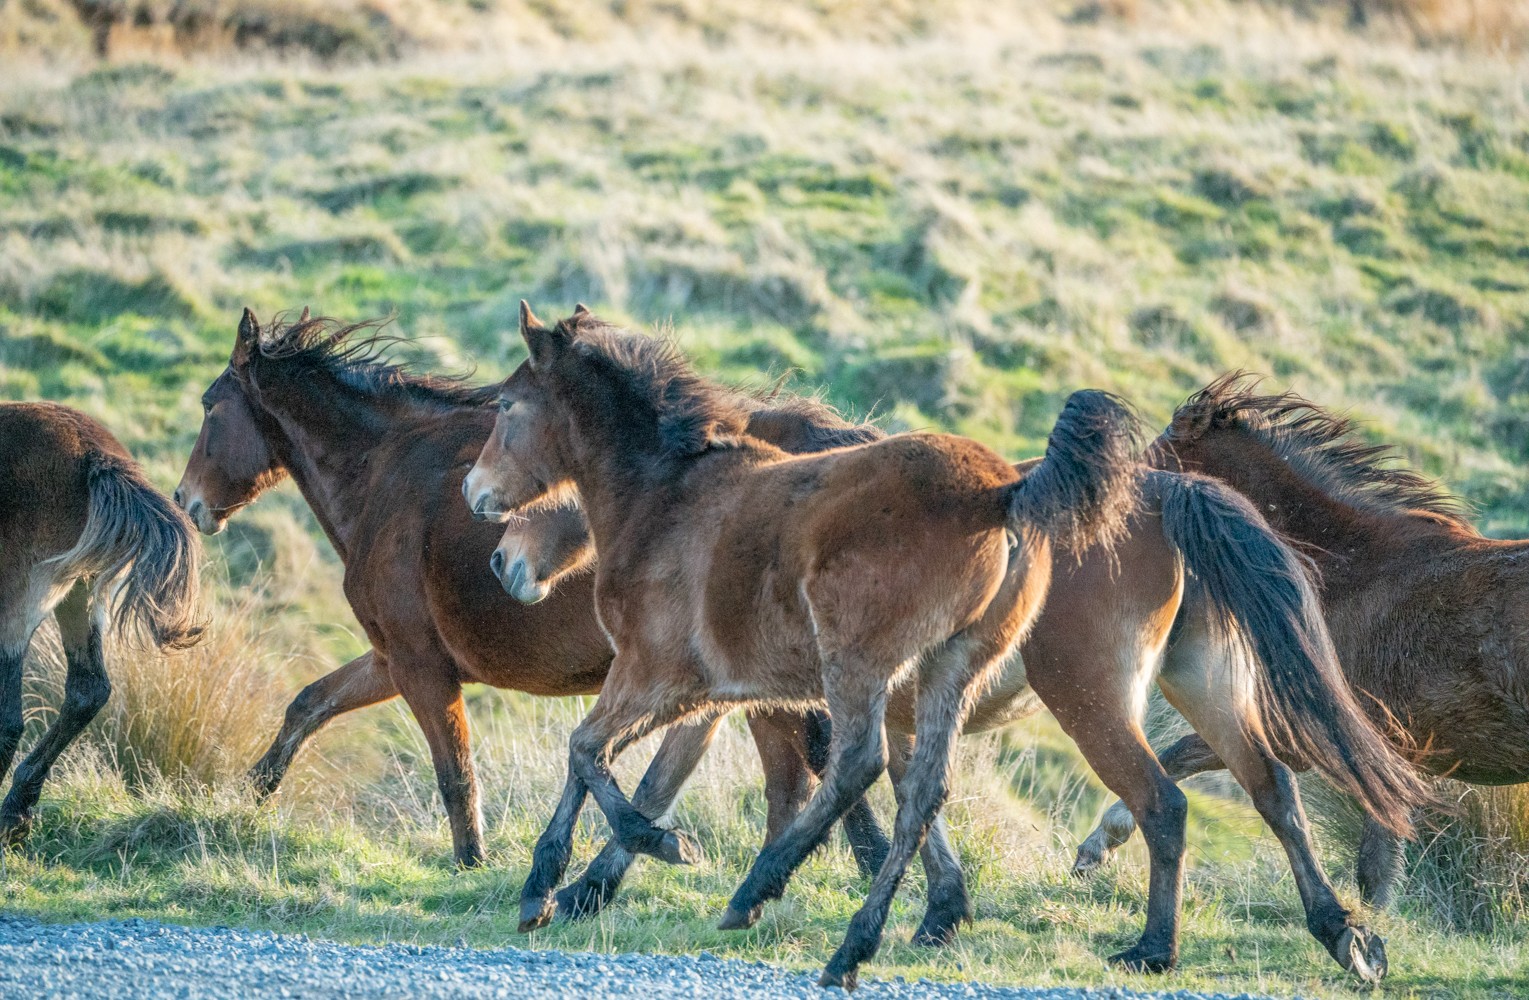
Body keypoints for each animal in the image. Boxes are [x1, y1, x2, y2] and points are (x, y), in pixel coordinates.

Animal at [0, 401, 203, 844]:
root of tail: (94, 455)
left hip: (18, 599)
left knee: (8, 720)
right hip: (81, 590)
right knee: (88, 690)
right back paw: (16, 812)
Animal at [172, 308, 889, 878]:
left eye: (209, 406)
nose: (187, 501)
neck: (386, 471)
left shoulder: (419, 665)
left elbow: (455, 773)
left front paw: (473, 864)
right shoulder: (391, 659)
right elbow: (308, 705)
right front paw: (247, 795)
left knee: (804, 764)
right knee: (783, 775)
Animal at [463, 304, 1427, 986]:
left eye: (505, 408)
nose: (492, 537)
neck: (672, 497)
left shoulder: (670, 680)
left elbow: (607, 761)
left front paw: (589, 877)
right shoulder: (728, 692)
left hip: (1051, 688)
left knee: (1154, 800)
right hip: (1174, 677)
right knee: (1267, 789)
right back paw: (1344, 940)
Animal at [1075, 373, 1529, 908]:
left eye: (1151, 459)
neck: (1347, 569)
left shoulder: (1312, 735)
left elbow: (1178, 755)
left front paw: (1096, 847)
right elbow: (1380, 862)